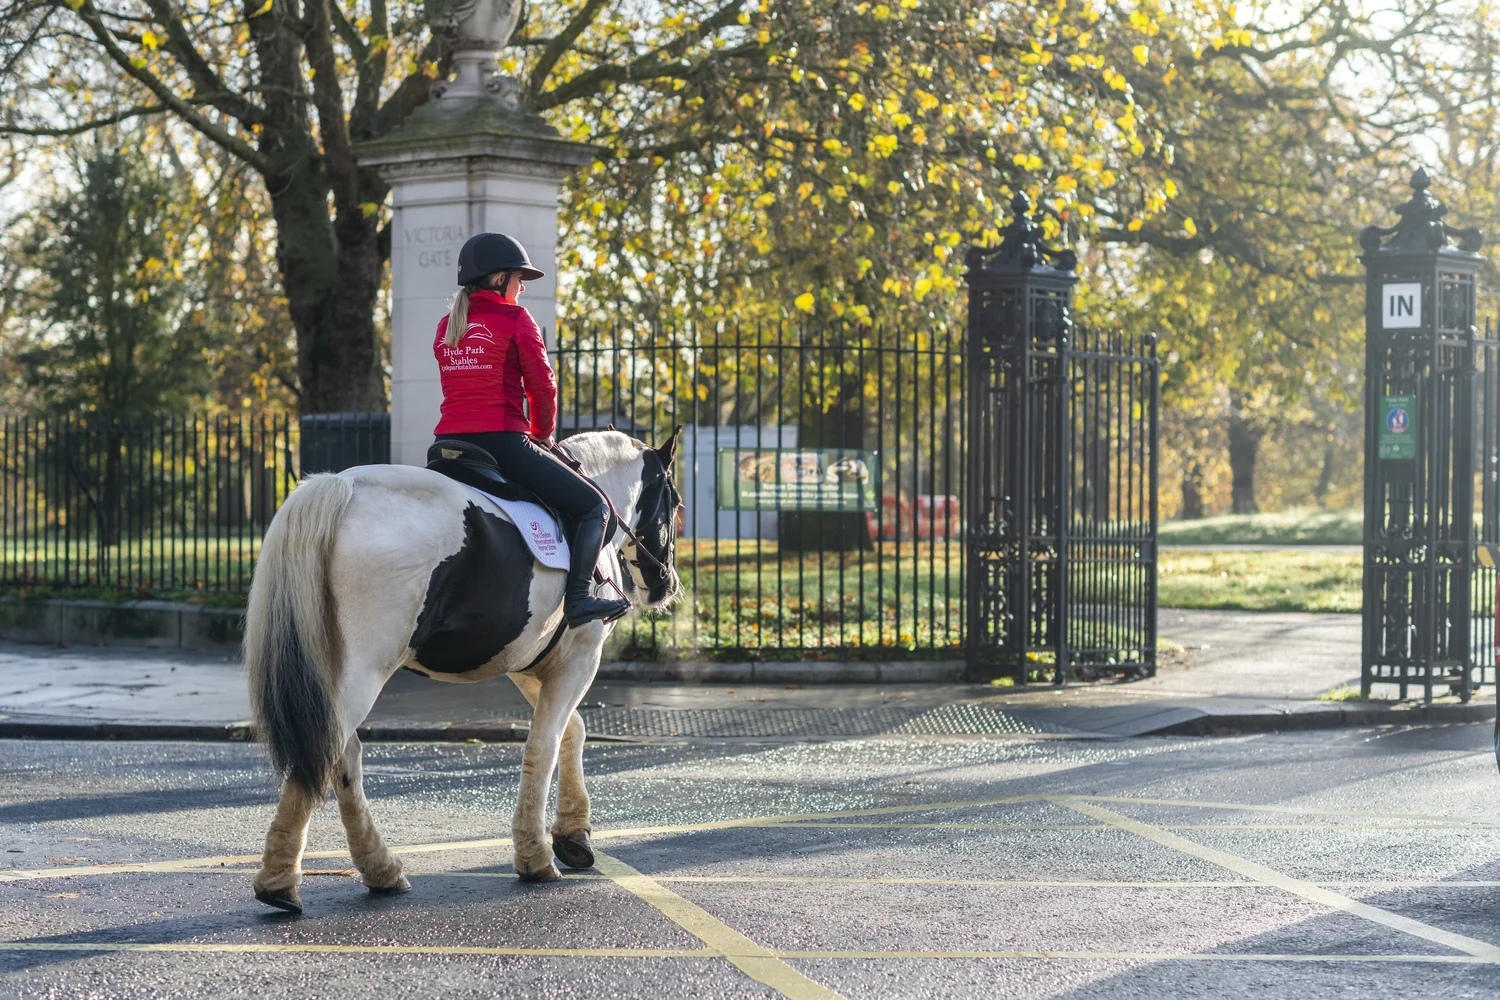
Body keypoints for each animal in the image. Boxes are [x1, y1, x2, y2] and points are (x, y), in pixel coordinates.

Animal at [242, 429, 682, 912]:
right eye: (676, 502)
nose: (666, 583)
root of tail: (344, 486)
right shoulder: (580, 658)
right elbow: (544, 745)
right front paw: (535, 855)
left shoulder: (530, 663)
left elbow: (572, 732)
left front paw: (573, 833)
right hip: (363, 671)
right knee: (329, 747)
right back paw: (281, 880)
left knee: (341, 755)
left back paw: (378, 868)